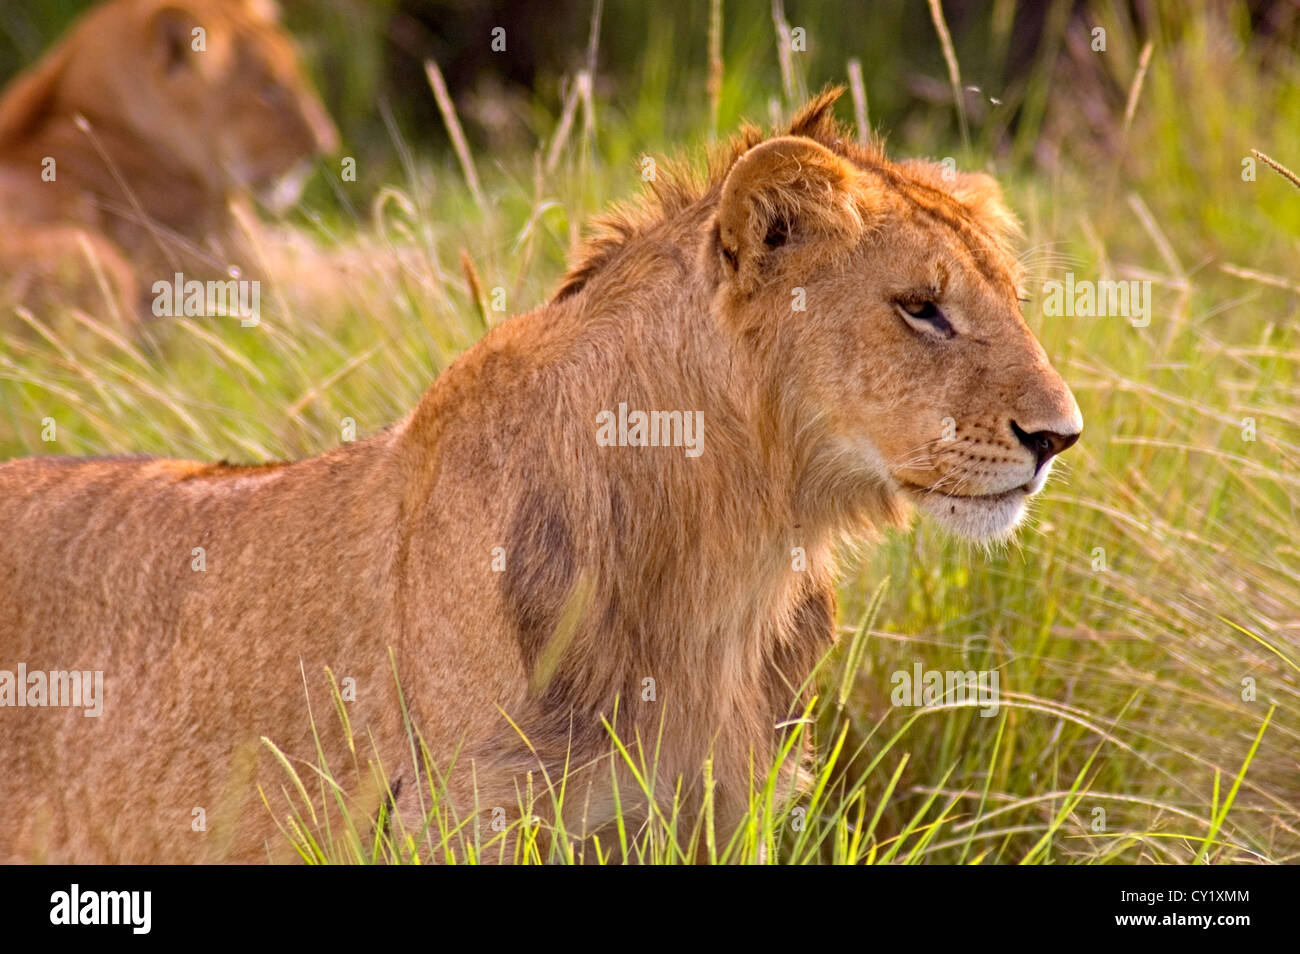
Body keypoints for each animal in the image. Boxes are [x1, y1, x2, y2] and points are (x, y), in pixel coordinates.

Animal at [0, 90, 1081, 863]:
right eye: (920, 308)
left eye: (1015, 300)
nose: (1058, 436)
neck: (725, 560)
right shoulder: (470, 818)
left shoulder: (730, 812)